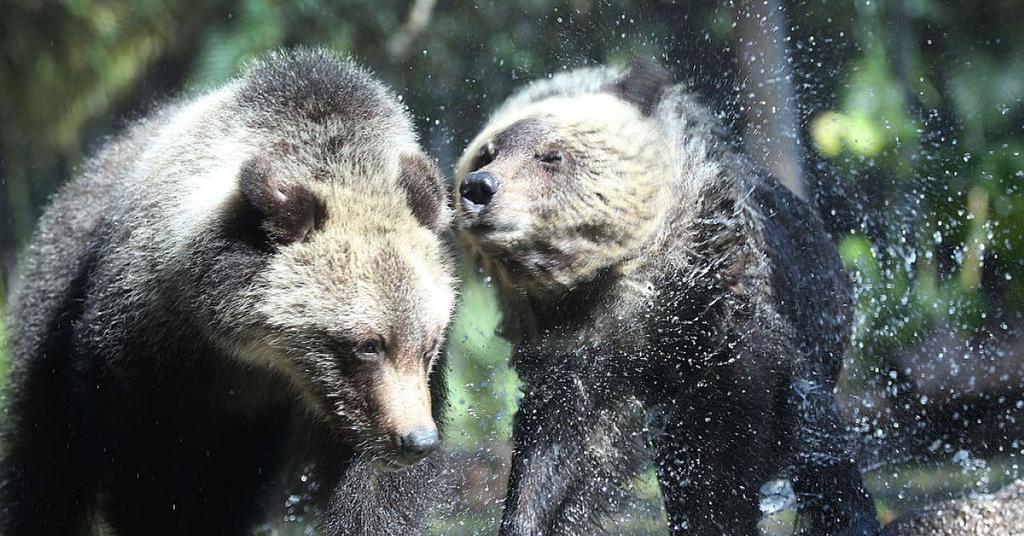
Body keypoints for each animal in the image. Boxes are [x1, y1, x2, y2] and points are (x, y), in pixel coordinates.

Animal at [0, 49, 457, 536]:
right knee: (45, 459)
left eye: (429, 344)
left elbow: (373, 487)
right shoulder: (149, 351)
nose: (417, 440)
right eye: (368, 344)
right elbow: (147, 473)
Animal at [453, 60, 880, 535]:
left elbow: (722, 459)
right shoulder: (580, 356)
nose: (478, 187)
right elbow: (555, 454)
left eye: (551, 156)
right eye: (487, 153)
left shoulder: (726, 333)